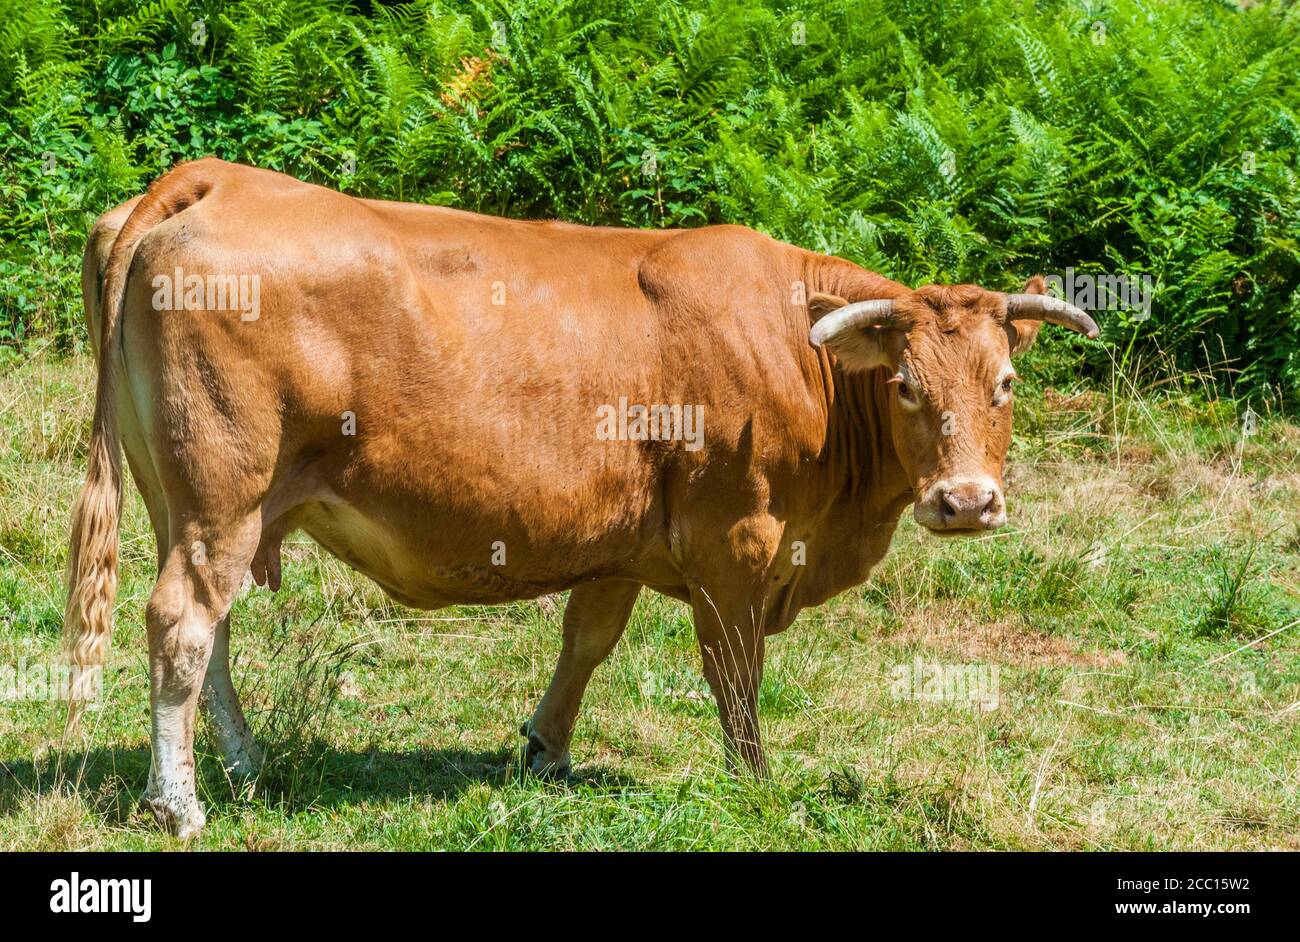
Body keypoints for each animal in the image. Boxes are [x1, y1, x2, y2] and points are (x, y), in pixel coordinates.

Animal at [65, 158, 1097, 837]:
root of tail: (215, 177)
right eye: (907, 386)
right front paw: (754, 779)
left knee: (212, 630)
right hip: (222, 494)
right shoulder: (737, 540)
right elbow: (735, 671)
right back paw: (178, 802)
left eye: (1005, 383)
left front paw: (545, 750)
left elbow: (588, 640)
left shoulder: (624, 539)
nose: (966, 502)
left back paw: (243, 765)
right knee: (183, 623)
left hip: (192, 503)